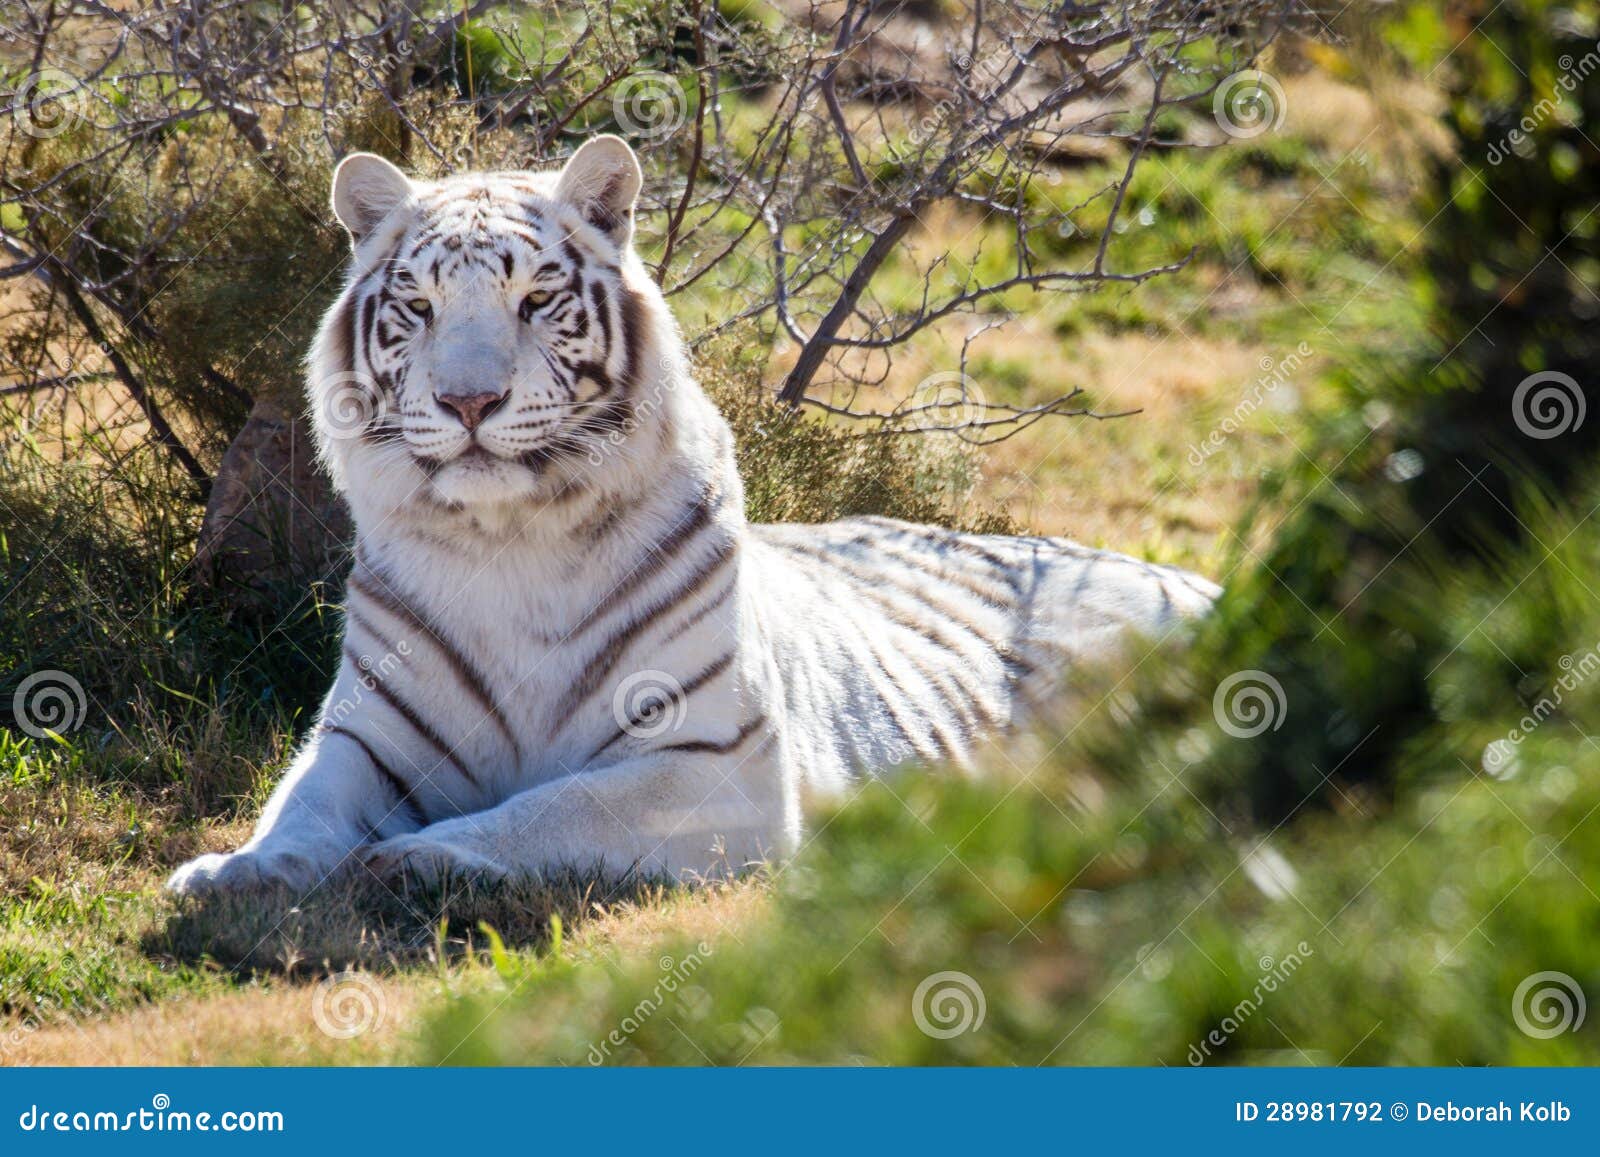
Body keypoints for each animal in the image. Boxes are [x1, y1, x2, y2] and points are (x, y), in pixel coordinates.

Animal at [166, 135, 1220, 896]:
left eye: (535, 298)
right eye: (418, 306)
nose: (469, 402)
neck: (509, 540)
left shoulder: (714, 758)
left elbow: (558, 806)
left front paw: (423, 857)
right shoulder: (365, 736)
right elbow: (300, 804)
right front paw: (236, 871)